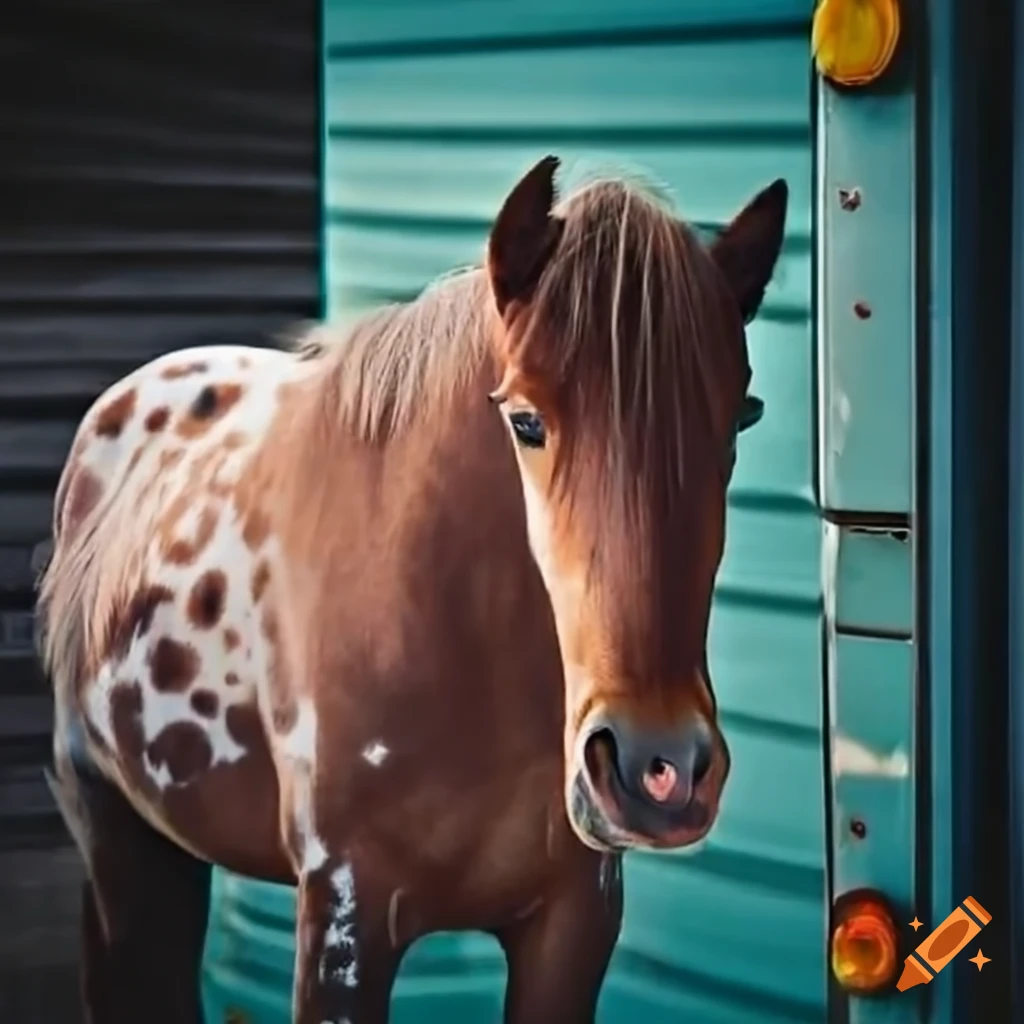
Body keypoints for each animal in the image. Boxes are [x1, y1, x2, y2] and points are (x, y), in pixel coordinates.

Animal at [36, 155, 787, 1024]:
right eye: (526, 422)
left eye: (737, 424)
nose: (656, 769)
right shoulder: (345, 917)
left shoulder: (576, 922)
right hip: (117, 844)